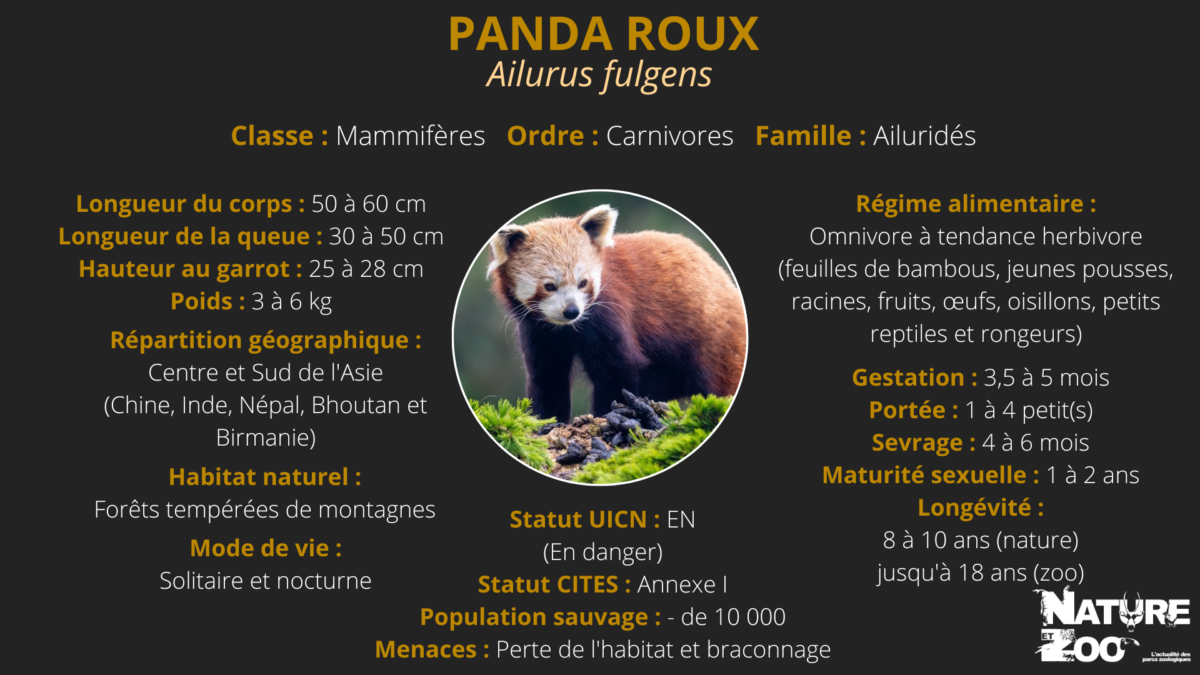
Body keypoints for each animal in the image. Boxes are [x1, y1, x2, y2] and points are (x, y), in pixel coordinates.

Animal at [487, 204, 747, 423]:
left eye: (583, 283)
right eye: (549, 286)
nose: (572, 311)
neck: (569, 329)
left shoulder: (609, 310)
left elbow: (618, 368)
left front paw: (607, 415)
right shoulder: (539, 331)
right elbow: (548, 376)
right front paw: (546, 419)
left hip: (716, 341)